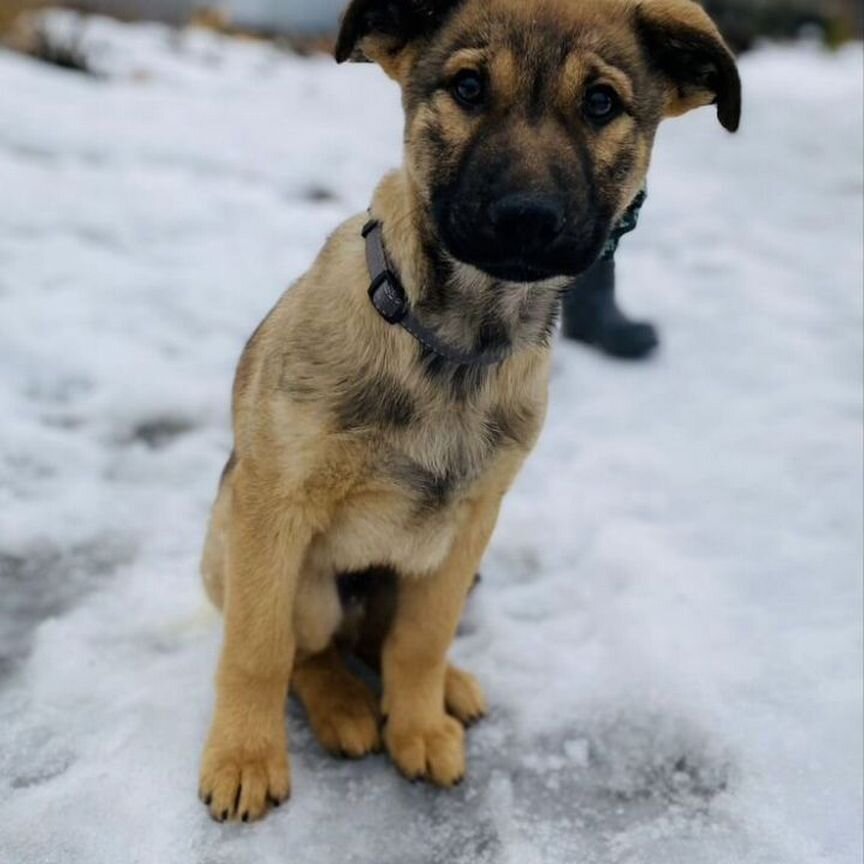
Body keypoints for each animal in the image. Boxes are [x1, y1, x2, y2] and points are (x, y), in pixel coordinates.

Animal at [197, 0, 744, 820]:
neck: (455, 344)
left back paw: (438, 690)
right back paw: (342, 706)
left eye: (602, 104)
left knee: (382, 638)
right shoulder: (274, 507)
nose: (527, 219)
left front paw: (419, 726)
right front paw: (244, 759)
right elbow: (258, 648)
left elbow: (422, 638)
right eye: (467, 88)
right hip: (273, 561)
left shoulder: (469, 524)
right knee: (311, 646)